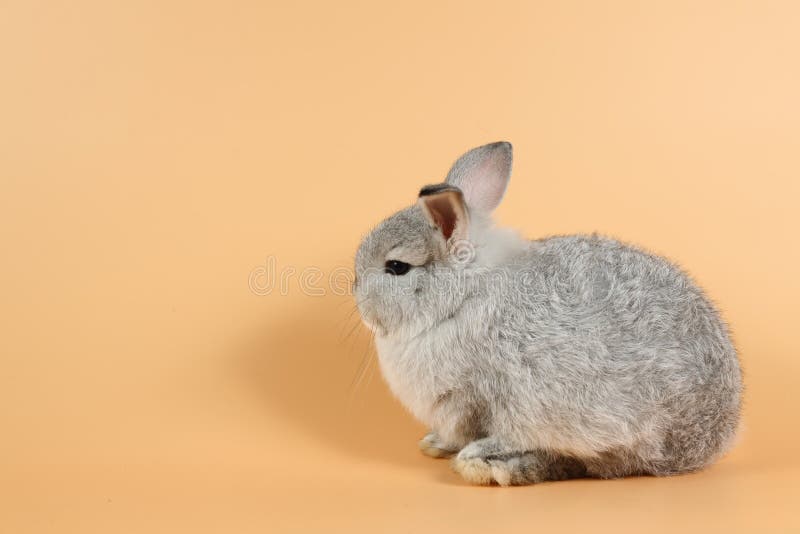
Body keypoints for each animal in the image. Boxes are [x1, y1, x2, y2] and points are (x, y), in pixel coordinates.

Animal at [353, 141, 742, 486]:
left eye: (397, 267)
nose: (357, 299)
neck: (460, 299)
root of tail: (709, 438)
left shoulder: (475, 398)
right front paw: (434, 443)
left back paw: (488, 464)